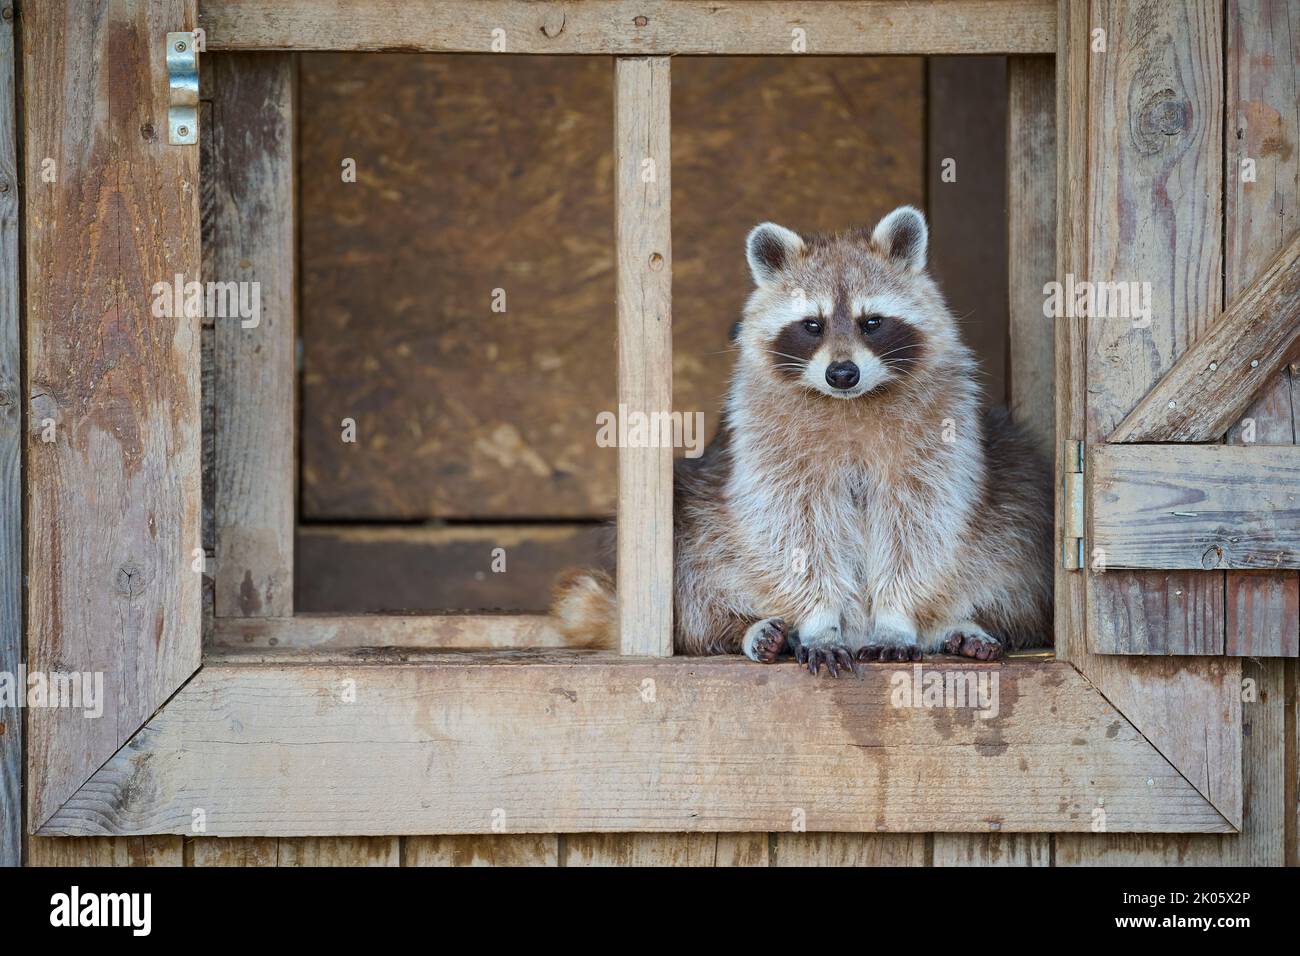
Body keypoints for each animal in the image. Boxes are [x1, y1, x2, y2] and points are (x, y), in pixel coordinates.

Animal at [553, 206, 1053, 674]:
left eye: (872, 323)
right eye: (812, 325)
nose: (842, 373)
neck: (850, 401)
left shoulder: (941, 435)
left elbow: (919, 528)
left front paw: (896, 616)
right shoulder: (767, 446)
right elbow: (793, 531)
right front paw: (819, 621)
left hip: (1013, 490)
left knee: (1016, 521)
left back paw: (960, 624)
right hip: (696, 519)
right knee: (692, 572)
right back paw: (749, 629)